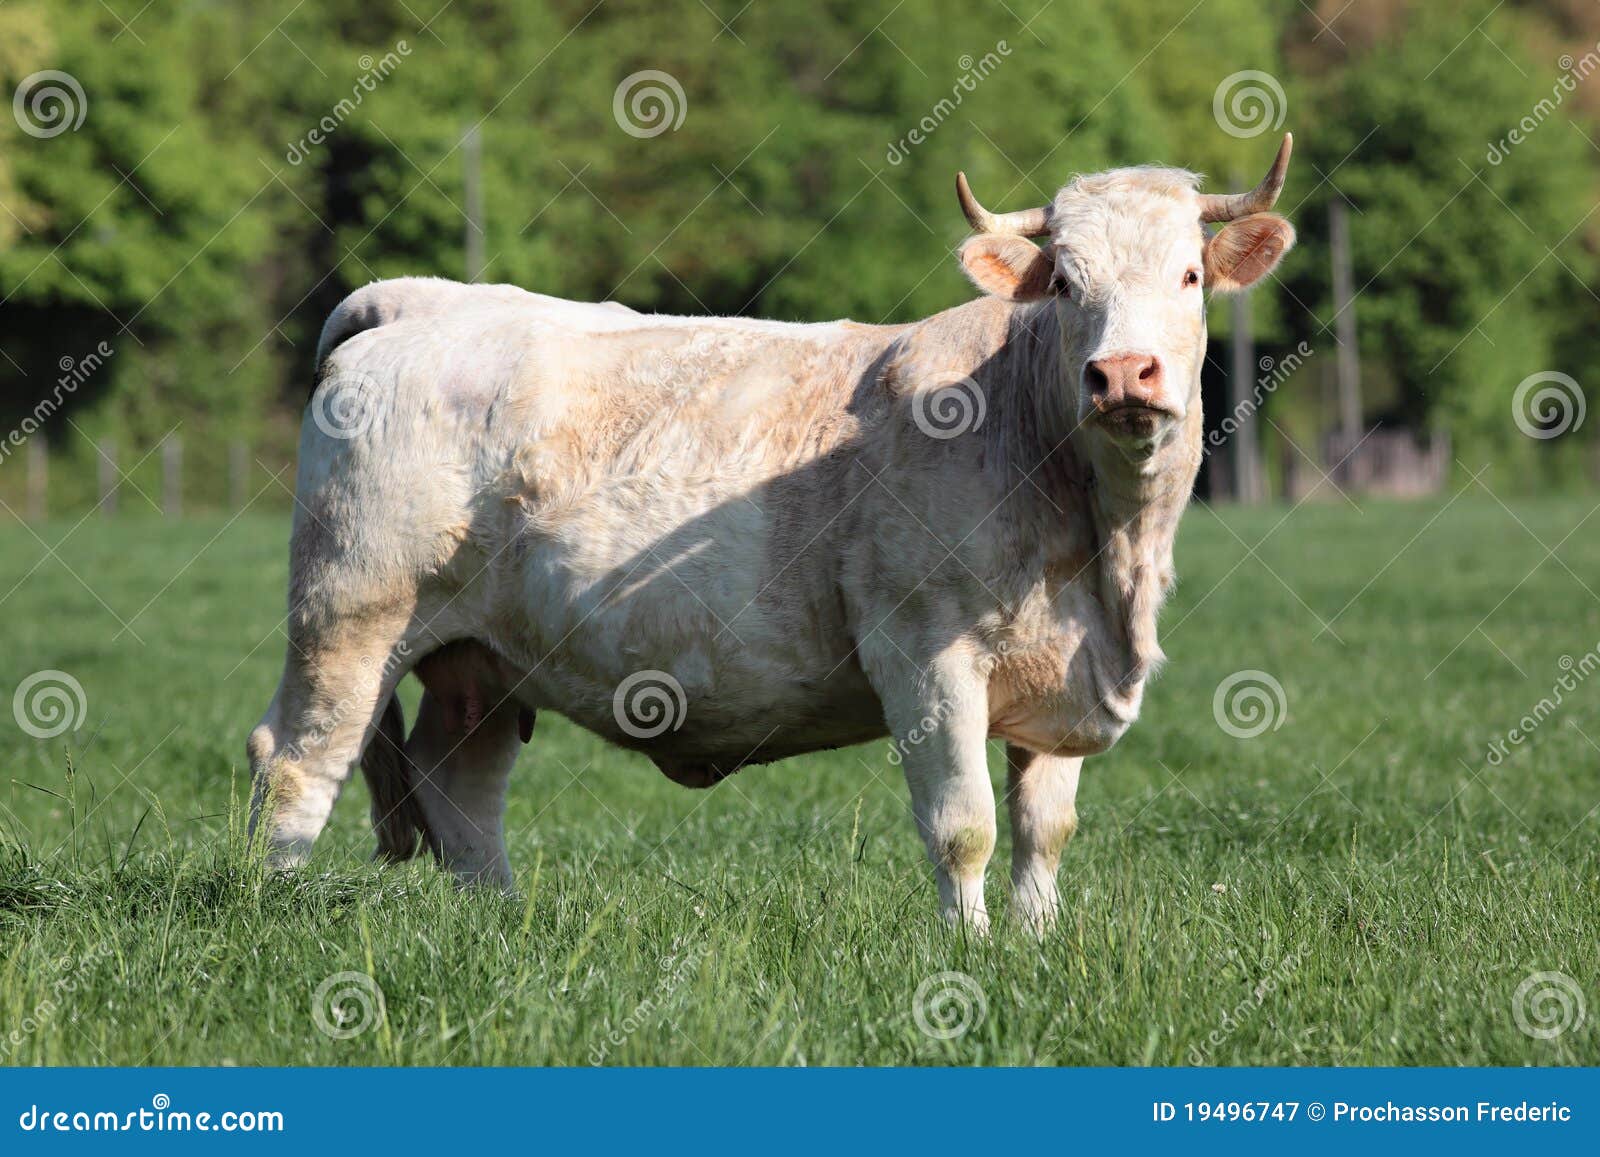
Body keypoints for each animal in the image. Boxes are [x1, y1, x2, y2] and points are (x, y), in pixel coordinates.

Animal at [246, 134, 1296, 933]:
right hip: (350, 613)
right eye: (1068, 284)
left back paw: (500, 920)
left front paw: (1035, 946)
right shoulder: (925, 653)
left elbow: (1045, 831)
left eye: (1190, 274)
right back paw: (275, 912)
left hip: (482, 659)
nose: (1123, 374)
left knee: (458, 785)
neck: (1104, 542)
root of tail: (422, 300)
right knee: (295, 759)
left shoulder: (1061, 679)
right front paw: (971, 952)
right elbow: (965, 826)